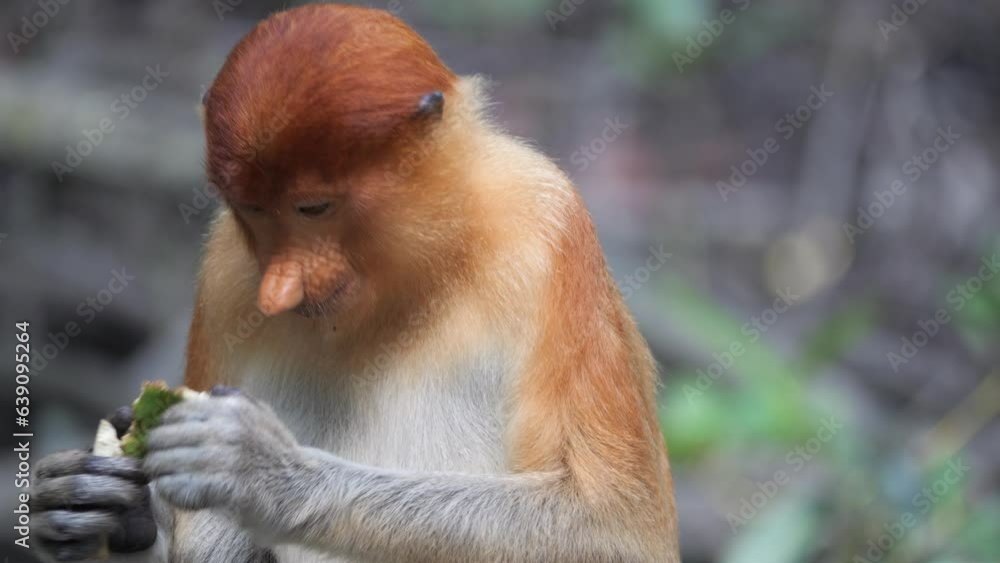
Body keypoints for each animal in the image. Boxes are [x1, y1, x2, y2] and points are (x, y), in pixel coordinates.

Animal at [30, 4, 680, 562]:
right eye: (254, 210)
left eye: (314, 207)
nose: (278, 292)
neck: (427, 269)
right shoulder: (226, 270)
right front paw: (93, 504)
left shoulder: (548, 225)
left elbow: (611, 527)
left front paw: (263, 472)